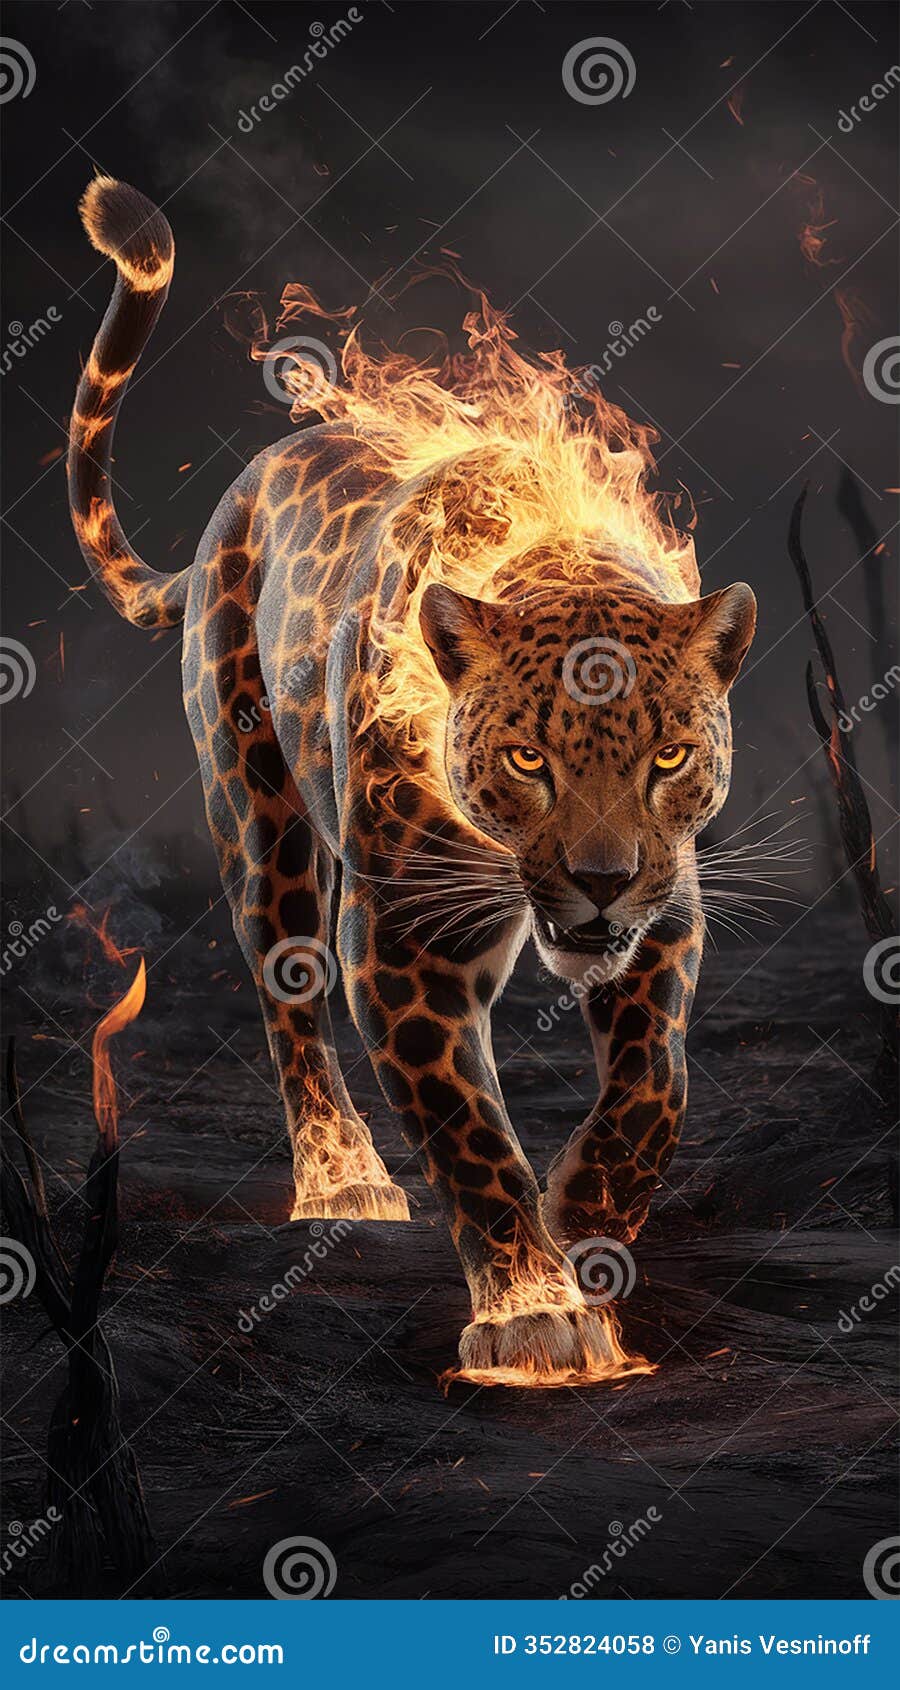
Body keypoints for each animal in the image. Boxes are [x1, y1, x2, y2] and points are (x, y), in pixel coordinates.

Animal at [68, 178, 756, 1385]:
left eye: (668, 757)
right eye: (529, 760)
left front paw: (584, 1217)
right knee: (287, 998)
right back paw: (342, 1175)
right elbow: (469, 1134)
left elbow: (653, 1087)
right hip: (262, 818)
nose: (602, 881)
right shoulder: (406, 945)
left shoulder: (667, 919)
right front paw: (531, 1311)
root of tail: (245, 485)